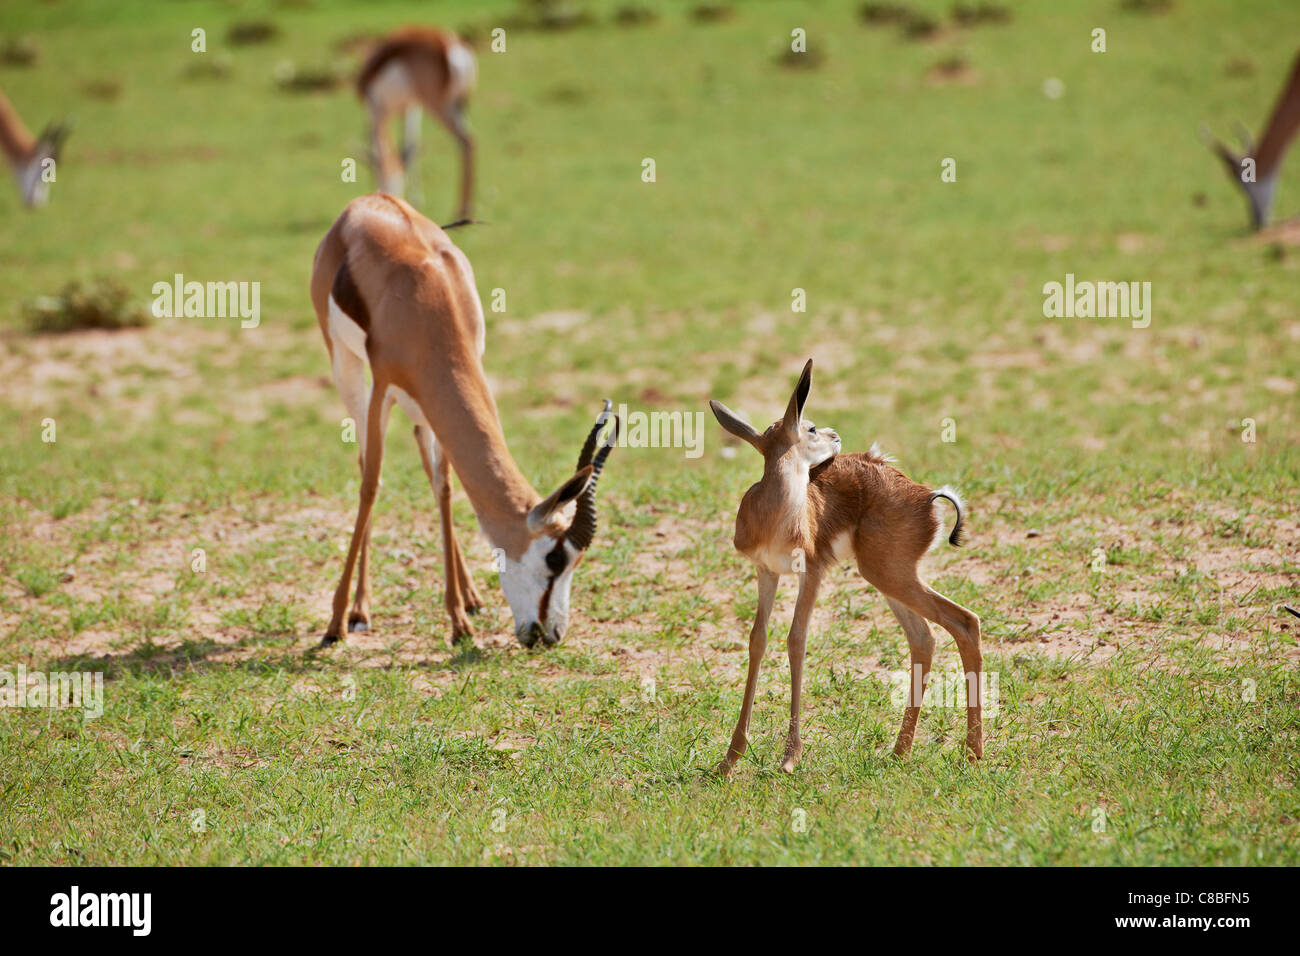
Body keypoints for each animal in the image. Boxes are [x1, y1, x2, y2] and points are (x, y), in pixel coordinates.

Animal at [309, 193, 617, 648]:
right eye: (555, 557)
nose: (552, 633)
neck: (430, 301)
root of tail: (368, 200)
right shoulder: (383, 387)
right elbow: (371, 485)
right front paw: (335, 623)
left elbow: (446, 485)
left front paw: (458, 620)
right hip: (345, 365)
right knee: (366, 464)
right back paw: (360, 610)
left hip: (422, 408)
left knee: (433, 473)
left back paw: (469, 597)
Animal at [356, 27, 476, 219]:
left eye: (392, 185)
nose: (392, 204)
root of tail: (451, 45)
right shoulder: (411, 105)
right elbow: (410, 147)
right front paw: (416, 201)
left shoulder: (375, 110)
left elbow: (380, 151)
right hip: (459, 104)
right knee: (470, 140)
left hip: (437, 104)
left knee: (465, 140)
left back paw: (462, 209)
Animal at [709, 359, 982, 775]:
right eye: (810, 428)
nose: (836, 437)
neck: (778, 518)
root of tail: (927, 496)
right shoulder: (766, 571)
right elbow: (758, 640)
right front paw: (730, 758)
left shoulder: (813, 571)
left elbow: (796, 639)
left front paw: (790, 757)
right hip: (888, 578)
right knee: (924, 638)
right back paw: (900, 753)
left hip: (890, 575)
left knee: (964, 622)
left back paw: (971, 754)